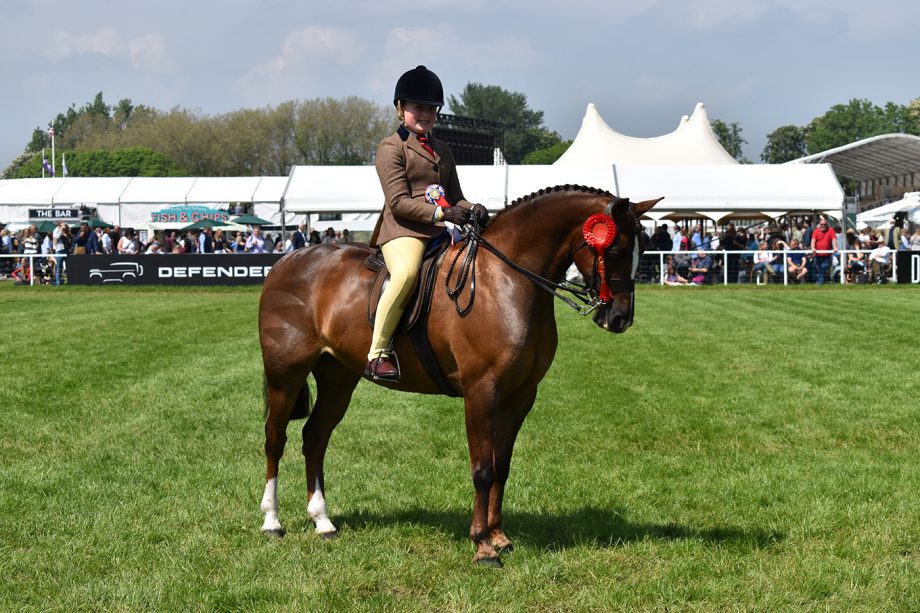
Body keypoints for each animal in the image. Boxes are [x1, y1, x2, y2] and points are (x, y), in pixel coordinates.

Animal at [258, 185, 661, 566]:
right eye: (615, 249)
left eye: (641, 248)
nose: (619, 318)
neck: (506, 280)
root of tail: (286, 262)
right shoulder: (482, 390)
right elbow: (482, 469)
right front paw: (483, 546)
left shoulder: (520, 395)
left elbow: (501, 466)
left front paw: (499, 536)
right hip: (285, 375)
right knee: (276, 439)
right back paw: (272, 522)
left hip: (339, 377)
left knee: (315, 438)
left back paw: (322, 521)